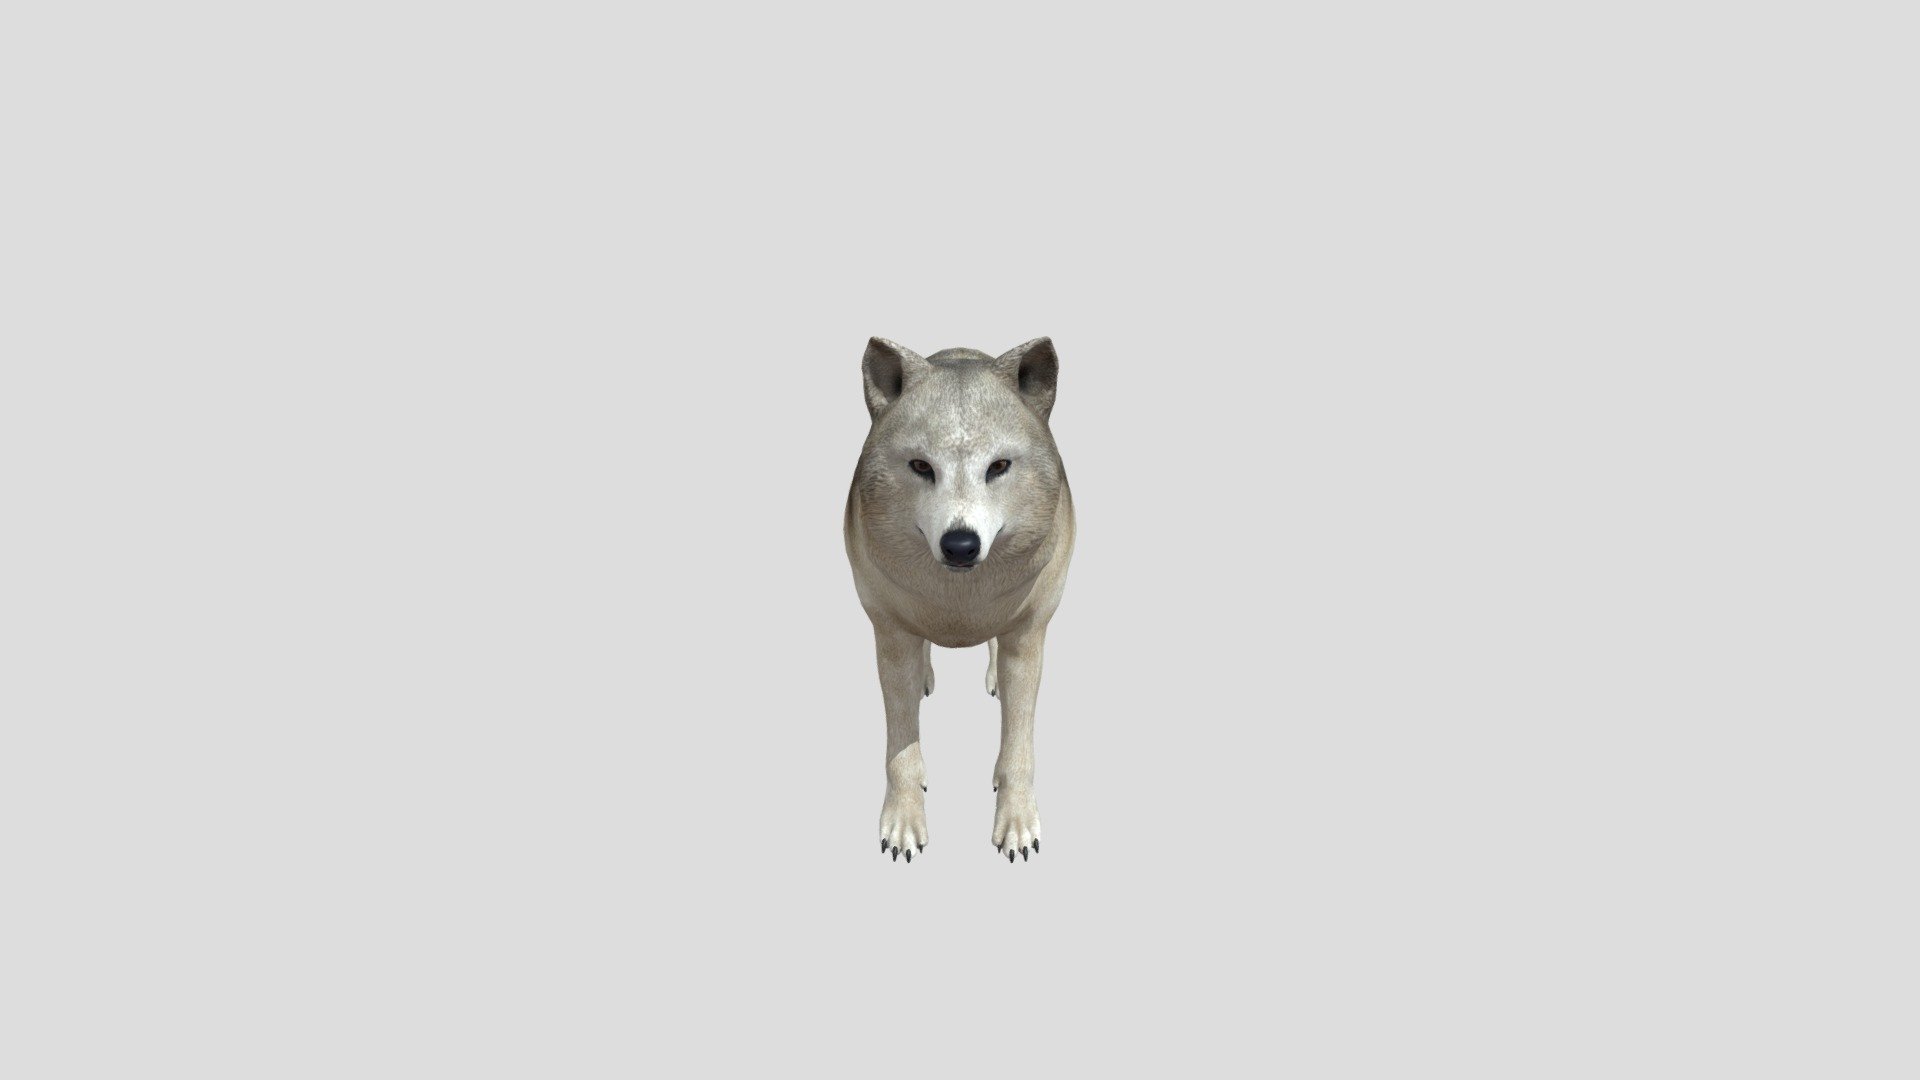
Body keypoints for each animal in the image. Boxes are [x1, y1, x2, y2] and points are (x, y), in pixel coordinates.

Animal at [844, 336, 1075, 864]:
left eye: (999, 467)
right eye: (921, 466)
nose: (961, 545)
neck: (958, 605)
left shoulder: (1027, 635)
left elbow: (1018, 747)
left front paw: (1017, 826)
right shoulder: (891, 632)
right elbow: (901, 749)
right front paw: (903, 825)